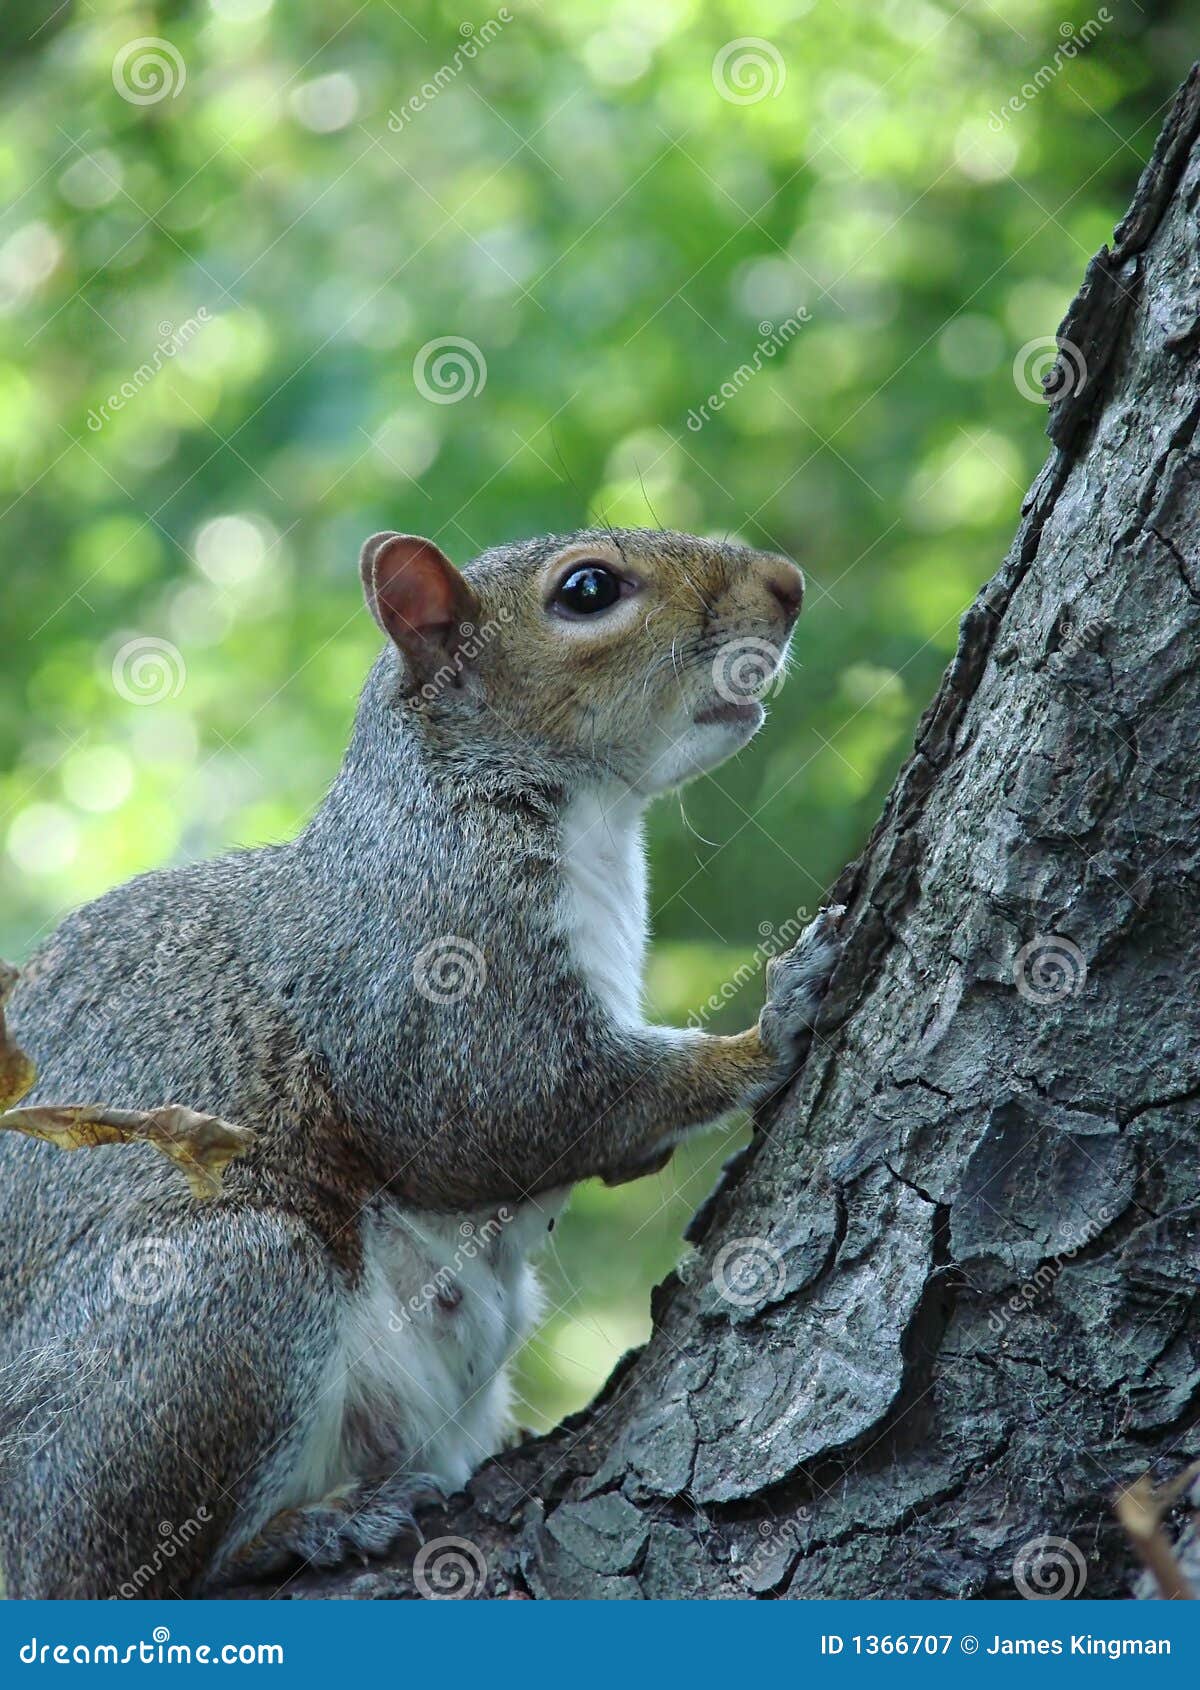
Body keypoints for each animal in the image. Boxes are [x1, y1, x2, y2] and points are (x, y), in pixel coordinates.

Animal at [0, 526, 843, 1598]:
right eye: (588, 591)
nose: (787, 584)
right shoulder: (434, 962)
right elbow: (507, 1115)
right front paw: (764, 1030)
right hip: (218, 1312)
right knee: (143, 1566)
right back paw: (309, 1526)